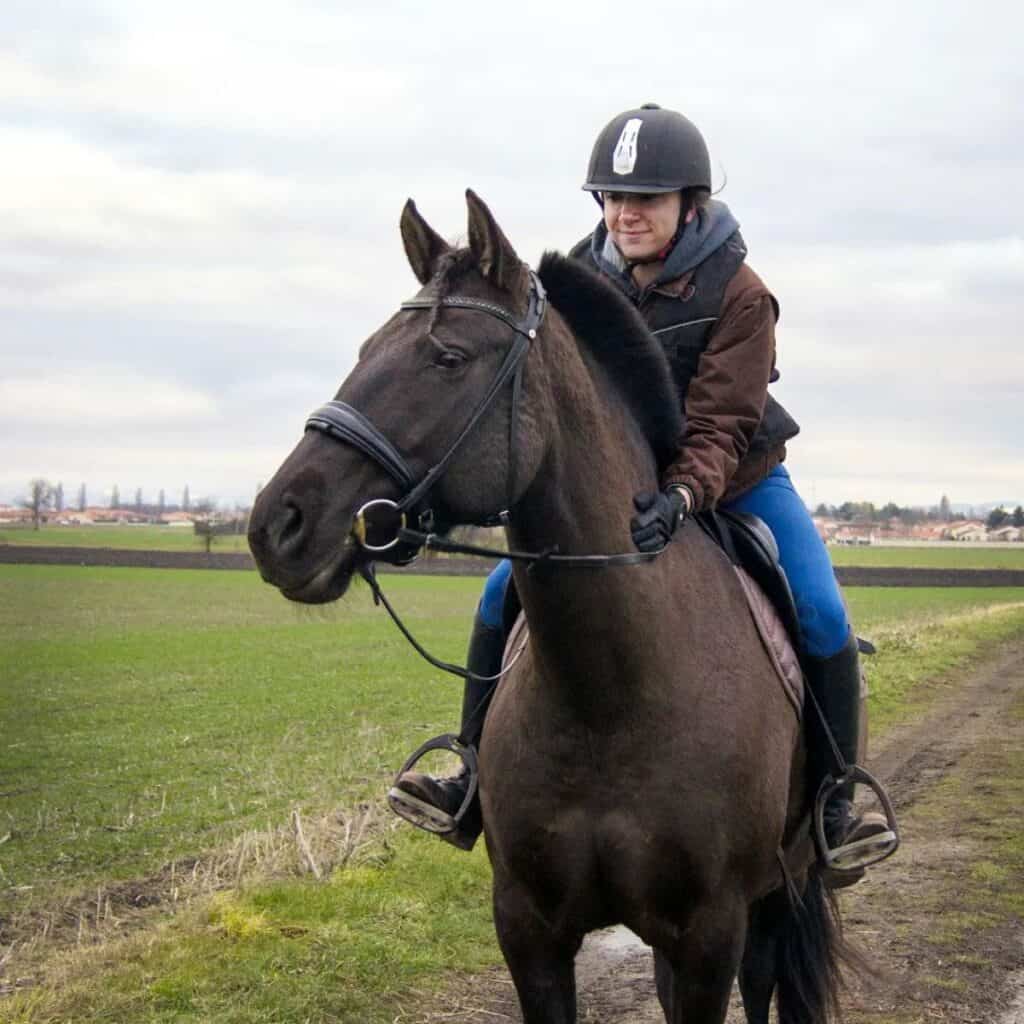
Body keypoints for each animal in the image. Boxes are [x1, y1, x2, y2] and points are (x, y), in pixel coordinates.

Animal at [247, 190, 851, 1023]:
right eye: (367, 346)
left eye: (448, 358)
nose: (278, 526)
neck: (610, 695)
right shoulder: (529, 928)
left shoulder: (710, 935)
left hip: (776, 891)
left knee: (763, 982)